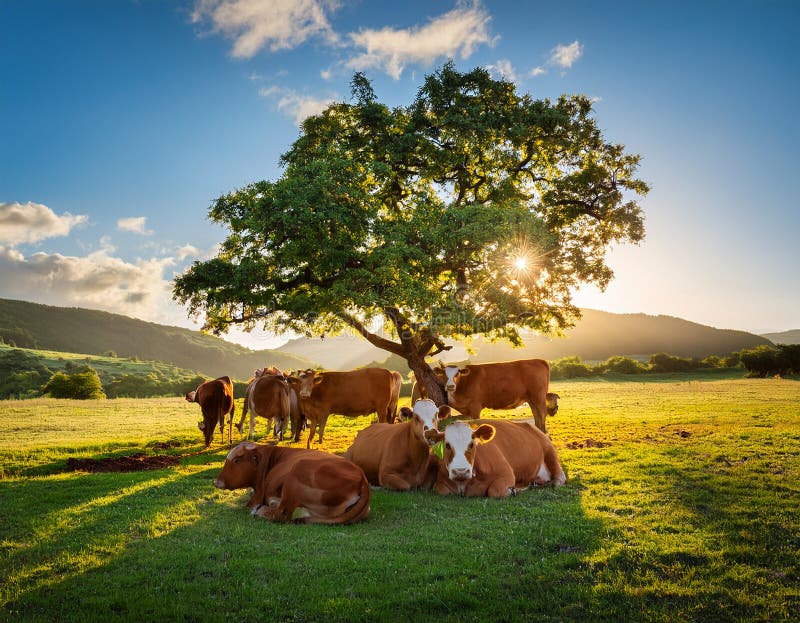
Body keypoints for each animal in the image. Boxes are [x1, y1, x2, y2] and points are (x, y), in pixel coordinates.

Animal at [213, 442, 370, 524]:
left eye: (236, 460)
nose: (216, 482)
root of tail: (361, 478)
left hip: (296, 472)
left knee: (282, 514)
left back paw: (260, 510)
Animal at [425, 419, 566, 498]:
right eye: (447, 445)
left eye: (471, 444)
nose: (461, 471)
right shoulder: (441, 482)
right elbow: (441, 490)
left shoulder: (506, 473)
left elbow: (494, 491)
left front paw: (513, 491)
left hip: (548, 449)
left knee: (559, 473)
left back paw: (556, 482)